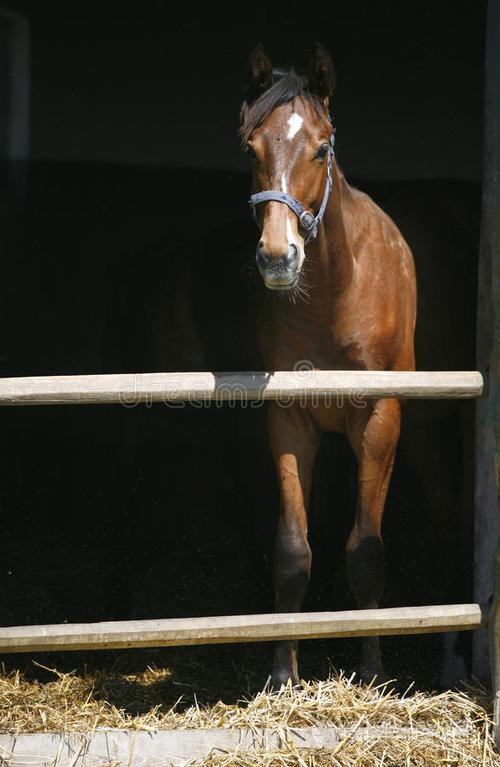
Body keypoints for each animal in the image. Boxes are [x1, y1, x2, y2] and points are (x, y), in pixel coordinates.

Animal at [241, 43, 417, 687]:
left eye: (320, 148)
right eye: (251, 148)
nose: (277, 256)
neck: (335, 297)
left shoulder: (379, 420)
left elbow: (366, 551)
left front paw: (373, 674)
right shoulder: (289, 421)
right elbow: (294, 550)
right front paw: (282, 676)